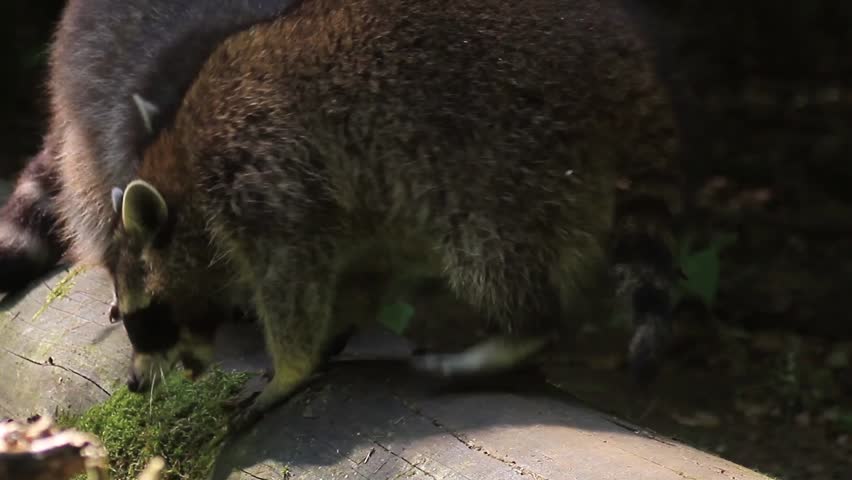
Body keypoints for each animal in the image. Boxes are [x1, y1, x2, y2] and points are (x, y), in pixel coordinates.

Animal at [108, 0, 683, 429]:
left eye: (146, 314)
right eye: (121, 316)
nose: (133, 383)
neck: (184, 179)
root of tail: (622, 62)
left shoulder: (267, 184)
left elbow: (292, 281)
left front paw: (291, 368)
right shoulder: (343, 211)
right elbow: (357, 275)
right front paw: (329, 335)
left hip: (511, 153)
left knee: (489, 252)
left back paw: (520, 331)